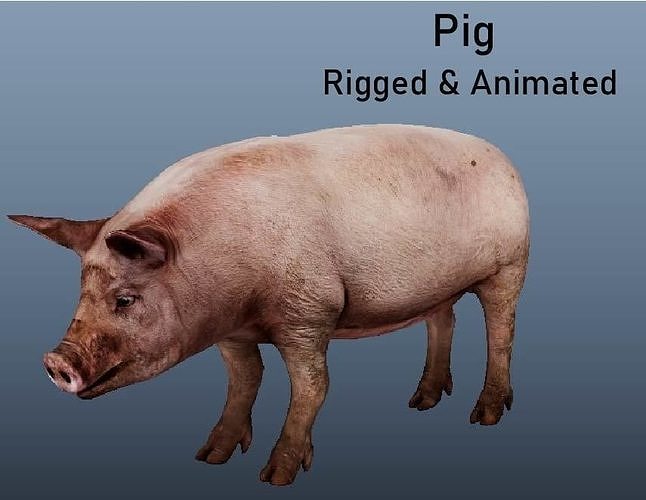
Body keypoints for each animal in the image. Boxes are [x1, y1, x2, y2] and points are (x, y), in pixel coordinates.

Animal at [8, 124, 529, 485]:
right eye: (80, 293)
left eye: (125, 298)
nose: (55, 360)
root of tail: (502, 158)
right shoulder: (231, 332)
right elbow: (245, 380)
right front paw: (209, 457)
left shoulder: (310, 308)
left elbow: (313, 387)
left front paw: (275, 477)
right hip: (436, 288)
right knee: (443, 320)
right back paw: (421, 402)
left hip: (510, 265)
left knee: (501, 332)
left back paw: (485, 415)